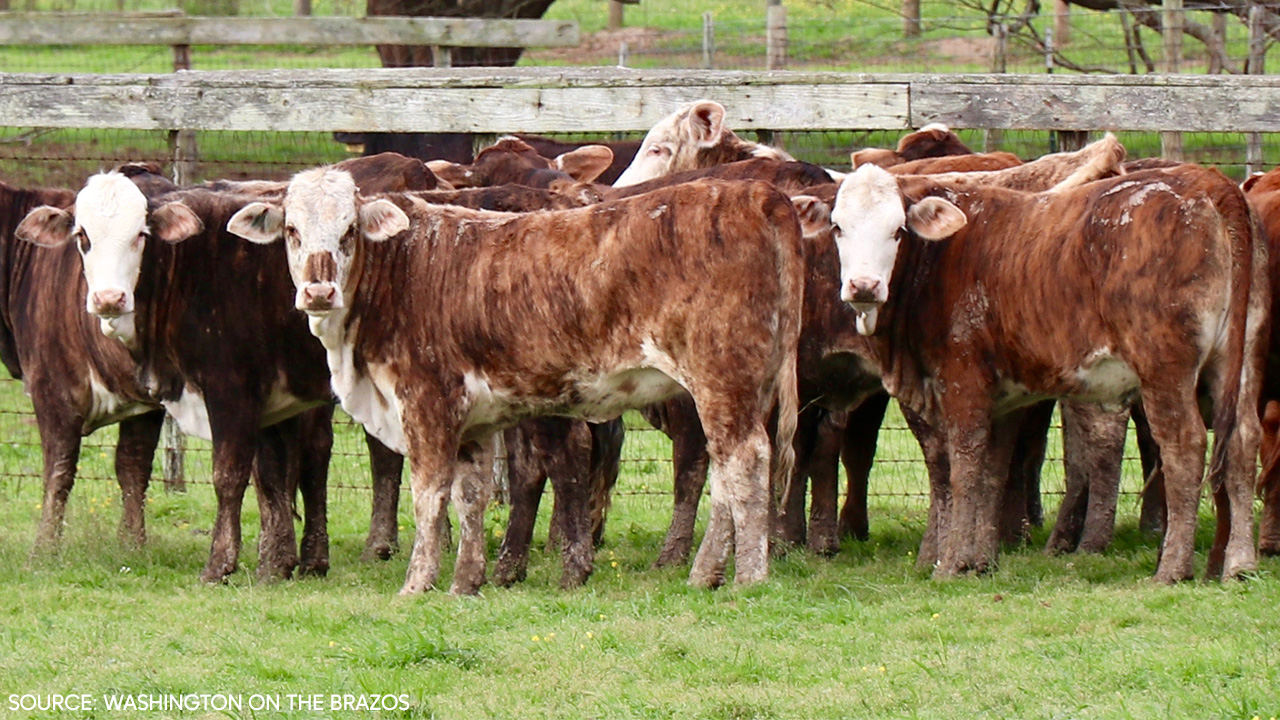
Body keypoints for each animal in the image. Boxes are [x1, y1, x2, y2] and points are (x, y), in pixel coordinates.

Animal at [227, 173, 804, 593]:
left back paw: (748, 579)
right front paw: (465, 582)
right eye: (292, 231)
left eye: (348, 230)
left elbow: (428, 497)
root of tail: (754, 193)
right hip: (747, 389)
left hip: (722, 380)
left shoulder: (427, 403)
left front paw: (417, 585)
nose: (319, 292)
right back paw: (705, 573)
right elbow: (471, 498)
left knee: (745, 463)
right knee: (725, 473)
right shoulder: (474, 424)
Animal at [819, 162, 1265, 582]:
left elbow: (964, 468)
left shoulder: (963, 381)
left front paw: (952, 564)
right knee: (1242, 443)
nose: (863, 286)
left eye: (897, 231)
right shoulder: (1004, 398)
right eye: (838, 227)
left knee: (1183, 446)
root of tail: (1207, 181)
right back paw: (1239, 564)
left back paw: (1172, 568)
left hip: (1165, 366)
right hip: (1240, 360)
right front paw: (981, 561)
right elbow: (993, 473)